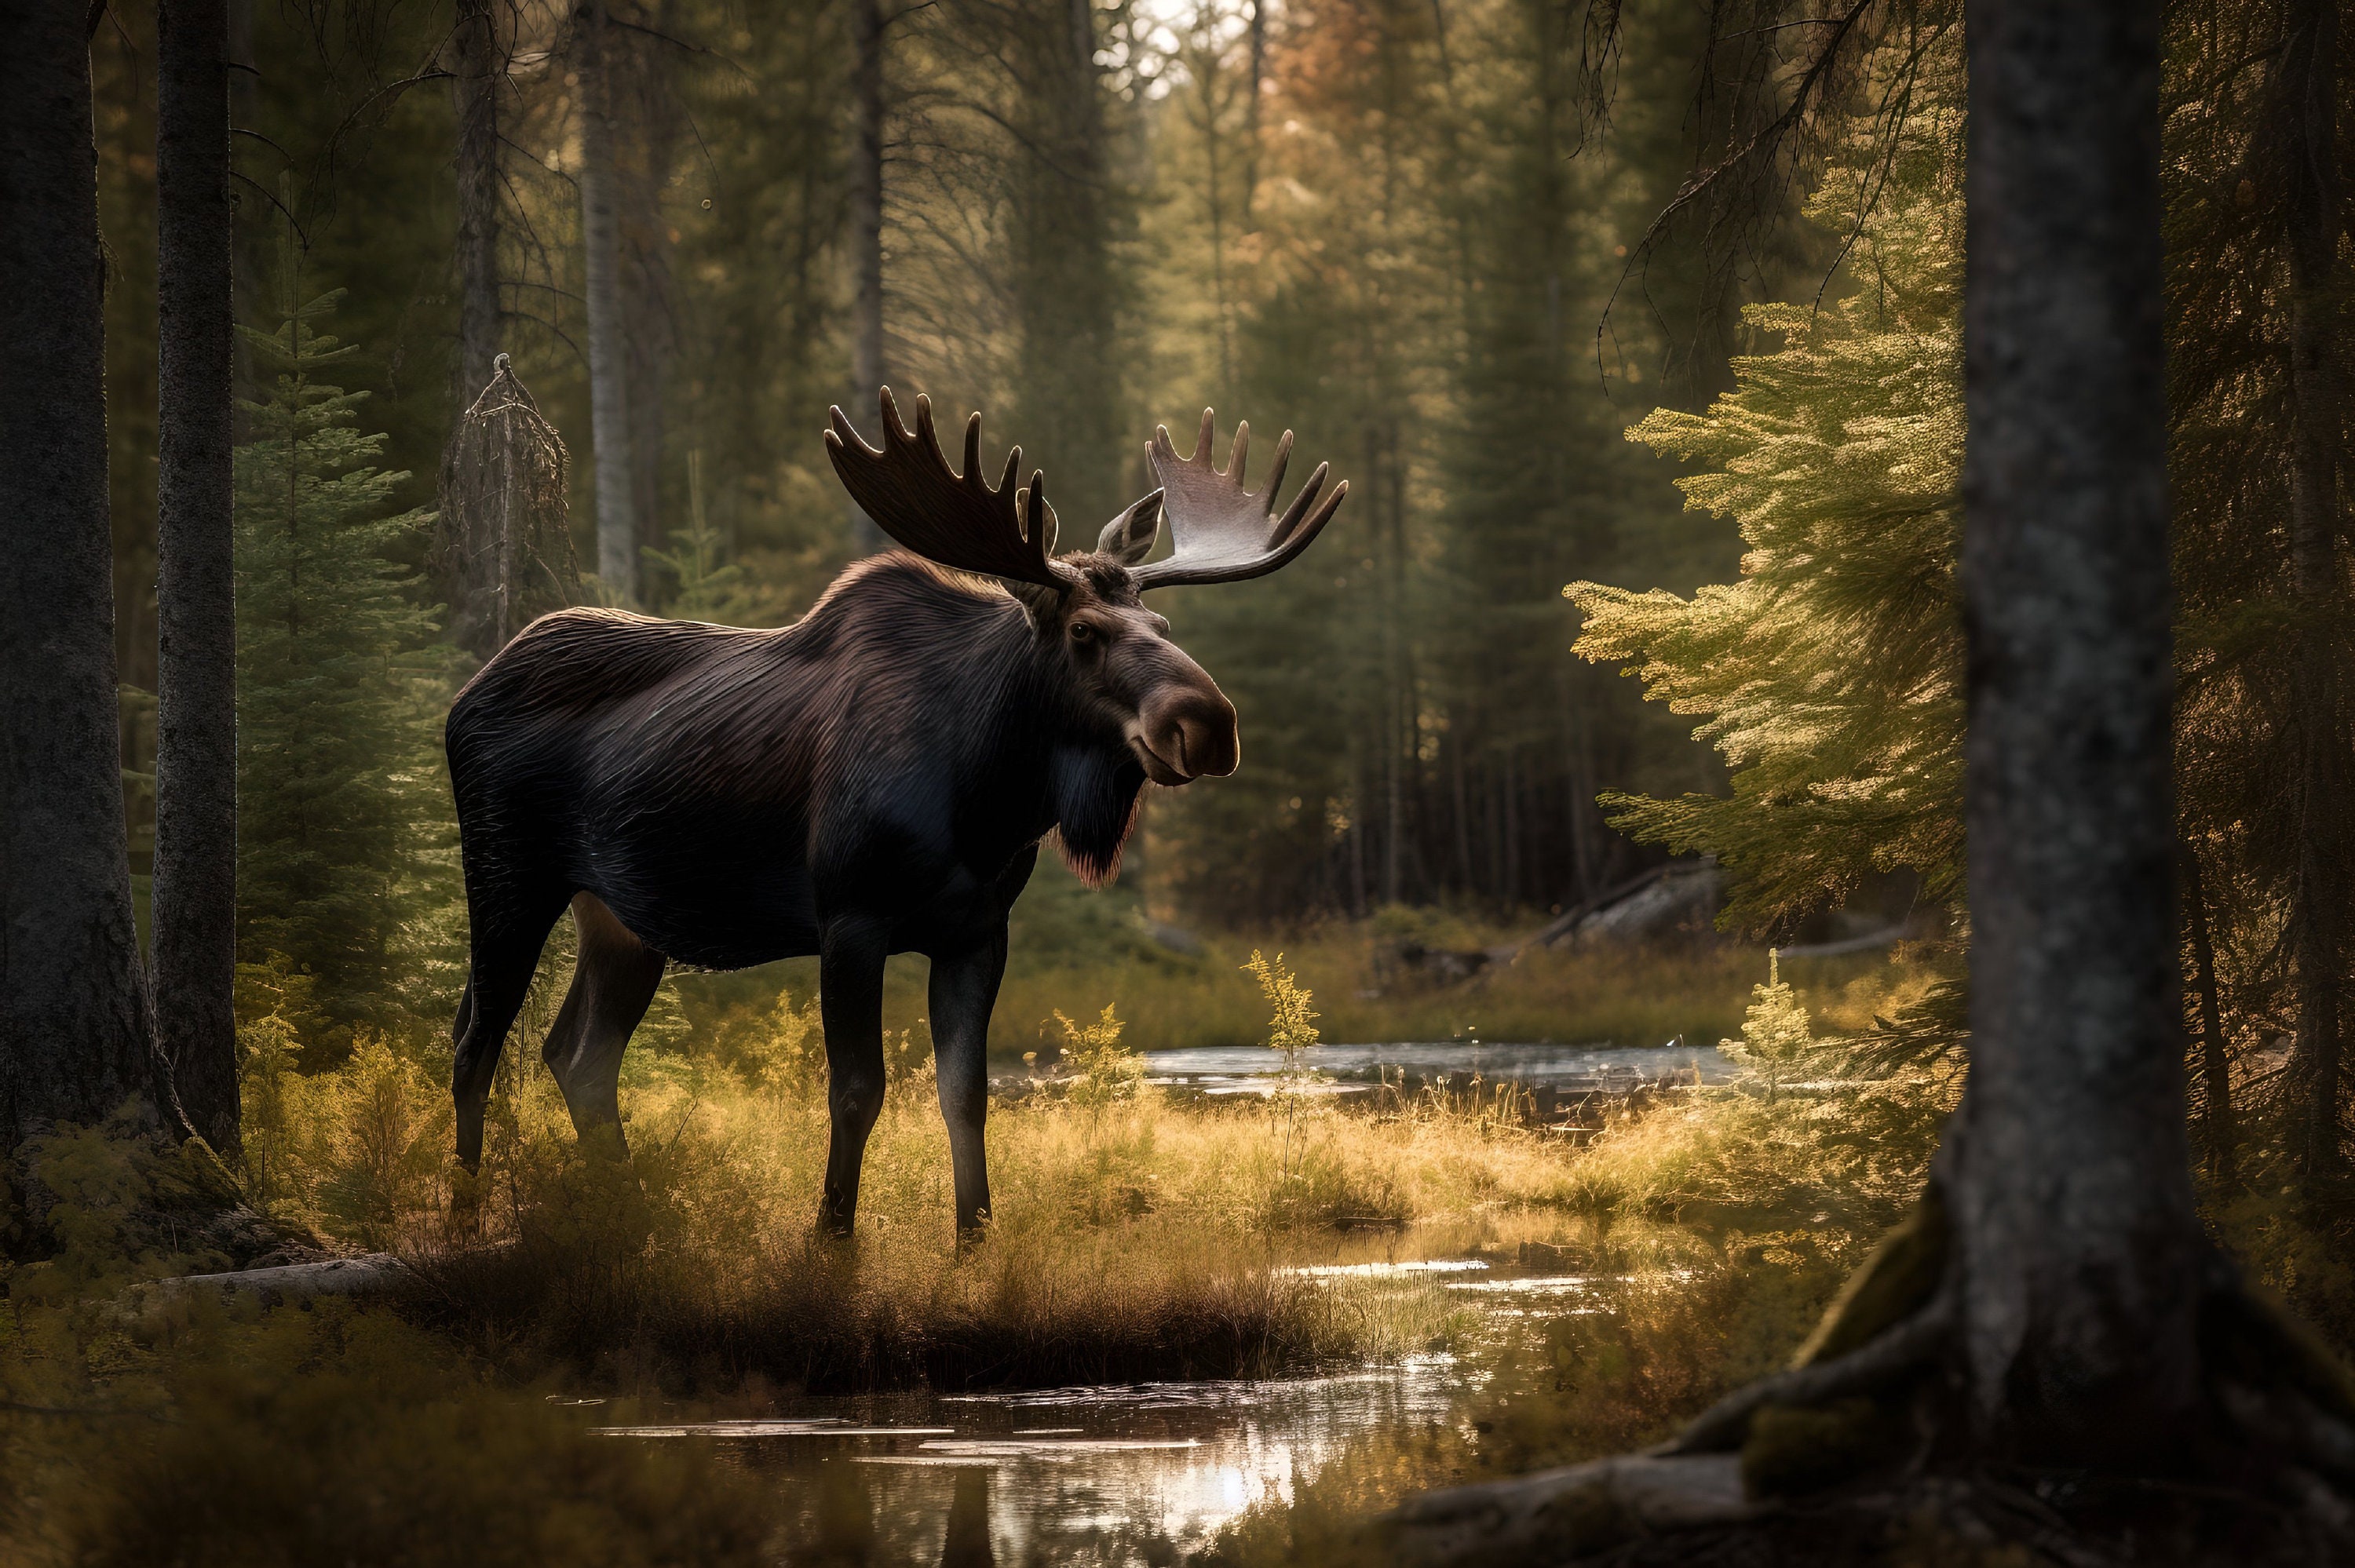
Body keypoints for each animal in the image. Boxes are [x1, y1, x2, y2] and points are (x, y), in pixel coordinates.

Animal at [442, 391, 1346, 1234]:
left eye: (1161, 621)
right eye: (1085, 630)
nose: (1209, 724)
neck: (984, 799)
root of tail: (464, 697)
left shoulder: (978, 930)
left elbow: (966, 1095)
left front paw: (974, 1238)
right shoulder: (850, 916)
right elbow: (855, 1092)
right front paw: (833, 1236)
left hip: (620, 917)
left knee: (579, 1055)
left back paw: (629, 1216)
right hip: (507, 877)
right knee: (474, 1042)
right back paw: (464, 1215)